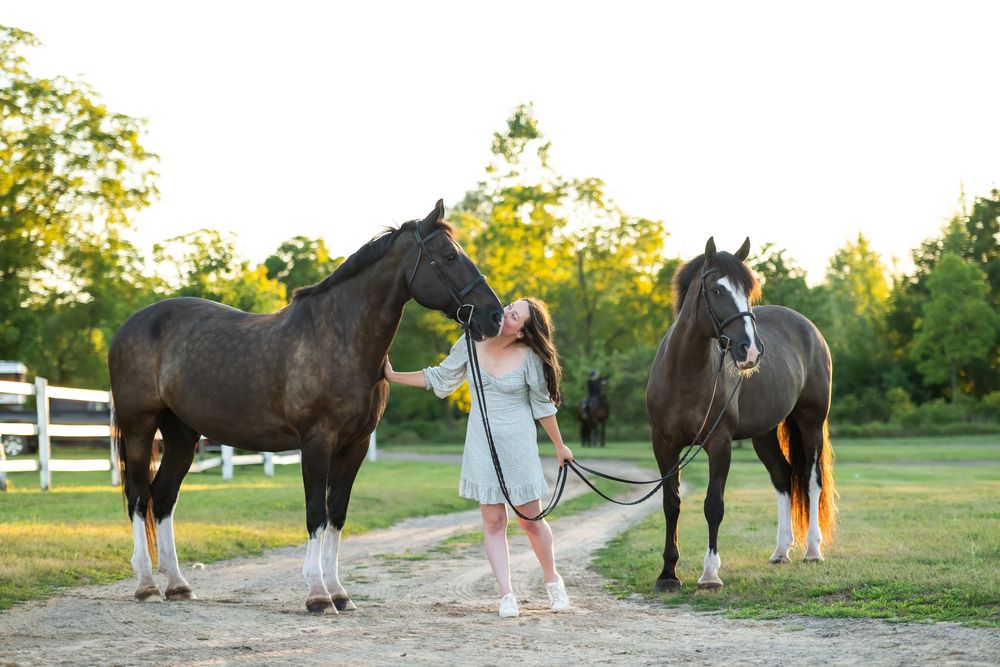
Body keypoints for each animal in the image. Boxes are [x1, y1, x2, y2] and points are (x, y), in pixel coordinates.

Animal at [108, 200, 503, 613]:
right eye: (449, 256)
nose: (494, 316)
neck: (339, 339)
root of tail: (128, 327)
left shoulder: (355, 446)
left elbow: (337, 514)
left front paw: (339, 592)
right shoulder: (316, 442)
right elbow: (316, 513)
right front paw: (317, 594)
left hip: (182, 435)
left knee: (163, 497)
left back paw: (178, 584)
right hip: (140, 427)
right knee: (138, 496)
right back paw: (147, 585)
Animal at [645, 237, 836, 592]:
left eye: (748, 292)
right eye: (717, 290)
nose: (751, 350)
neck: (684, 374)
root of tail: (809, 329)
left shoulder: (719, 443)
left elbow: (713, 505)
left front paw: (709, 574)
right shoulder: (663, 444)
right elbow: (671, 503)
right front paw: (668, 573)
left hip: (811, 422)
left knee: (812, 480)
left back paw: (812, 550)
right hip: (764, 434)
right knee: (783, 476)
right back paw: (780, 551)